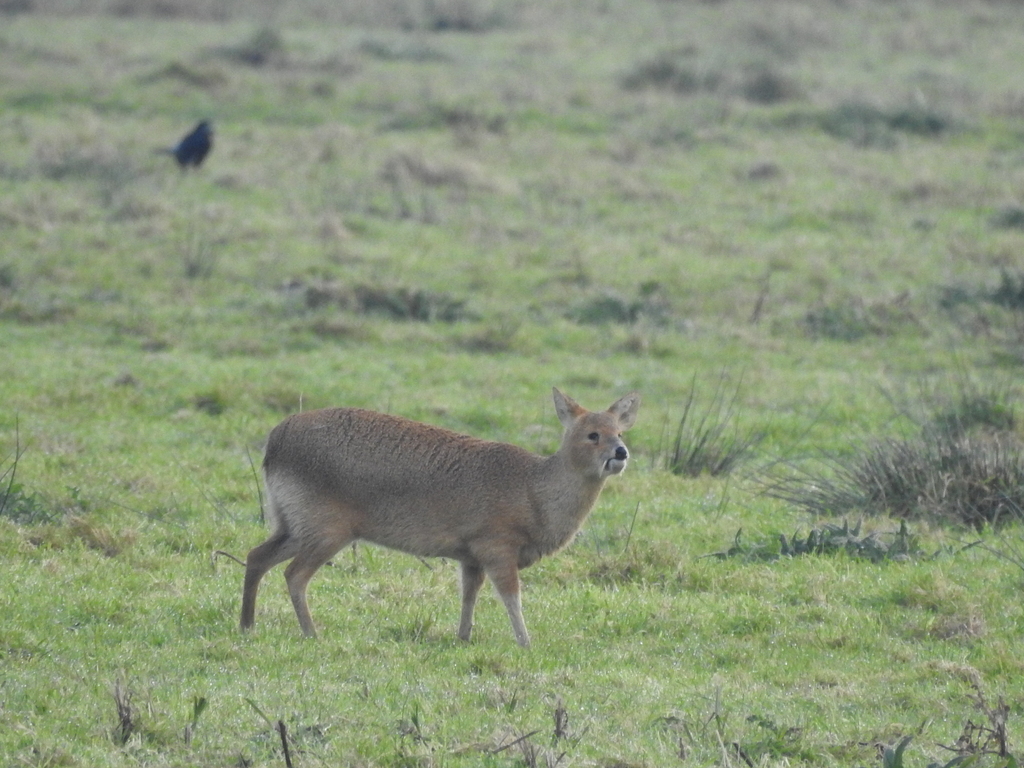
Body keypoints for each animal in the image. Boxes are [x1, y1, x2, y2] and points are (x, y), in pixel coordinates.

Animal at [240, 388, 640, 648]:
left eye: (619, 431)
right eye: (592, 434)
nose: (620, 452)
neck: (534, 491)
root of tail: (275, 441)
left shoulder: (471, 556)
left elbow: (468, 595)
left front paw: (463, 637)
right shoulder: (496, 545)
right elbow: (511, 595)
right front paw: (526, 642)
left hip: (293, 523)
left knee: (256, 556)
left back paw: (247, 626)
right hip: (326, 527)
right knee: (294, 575)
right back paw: (311, 633)